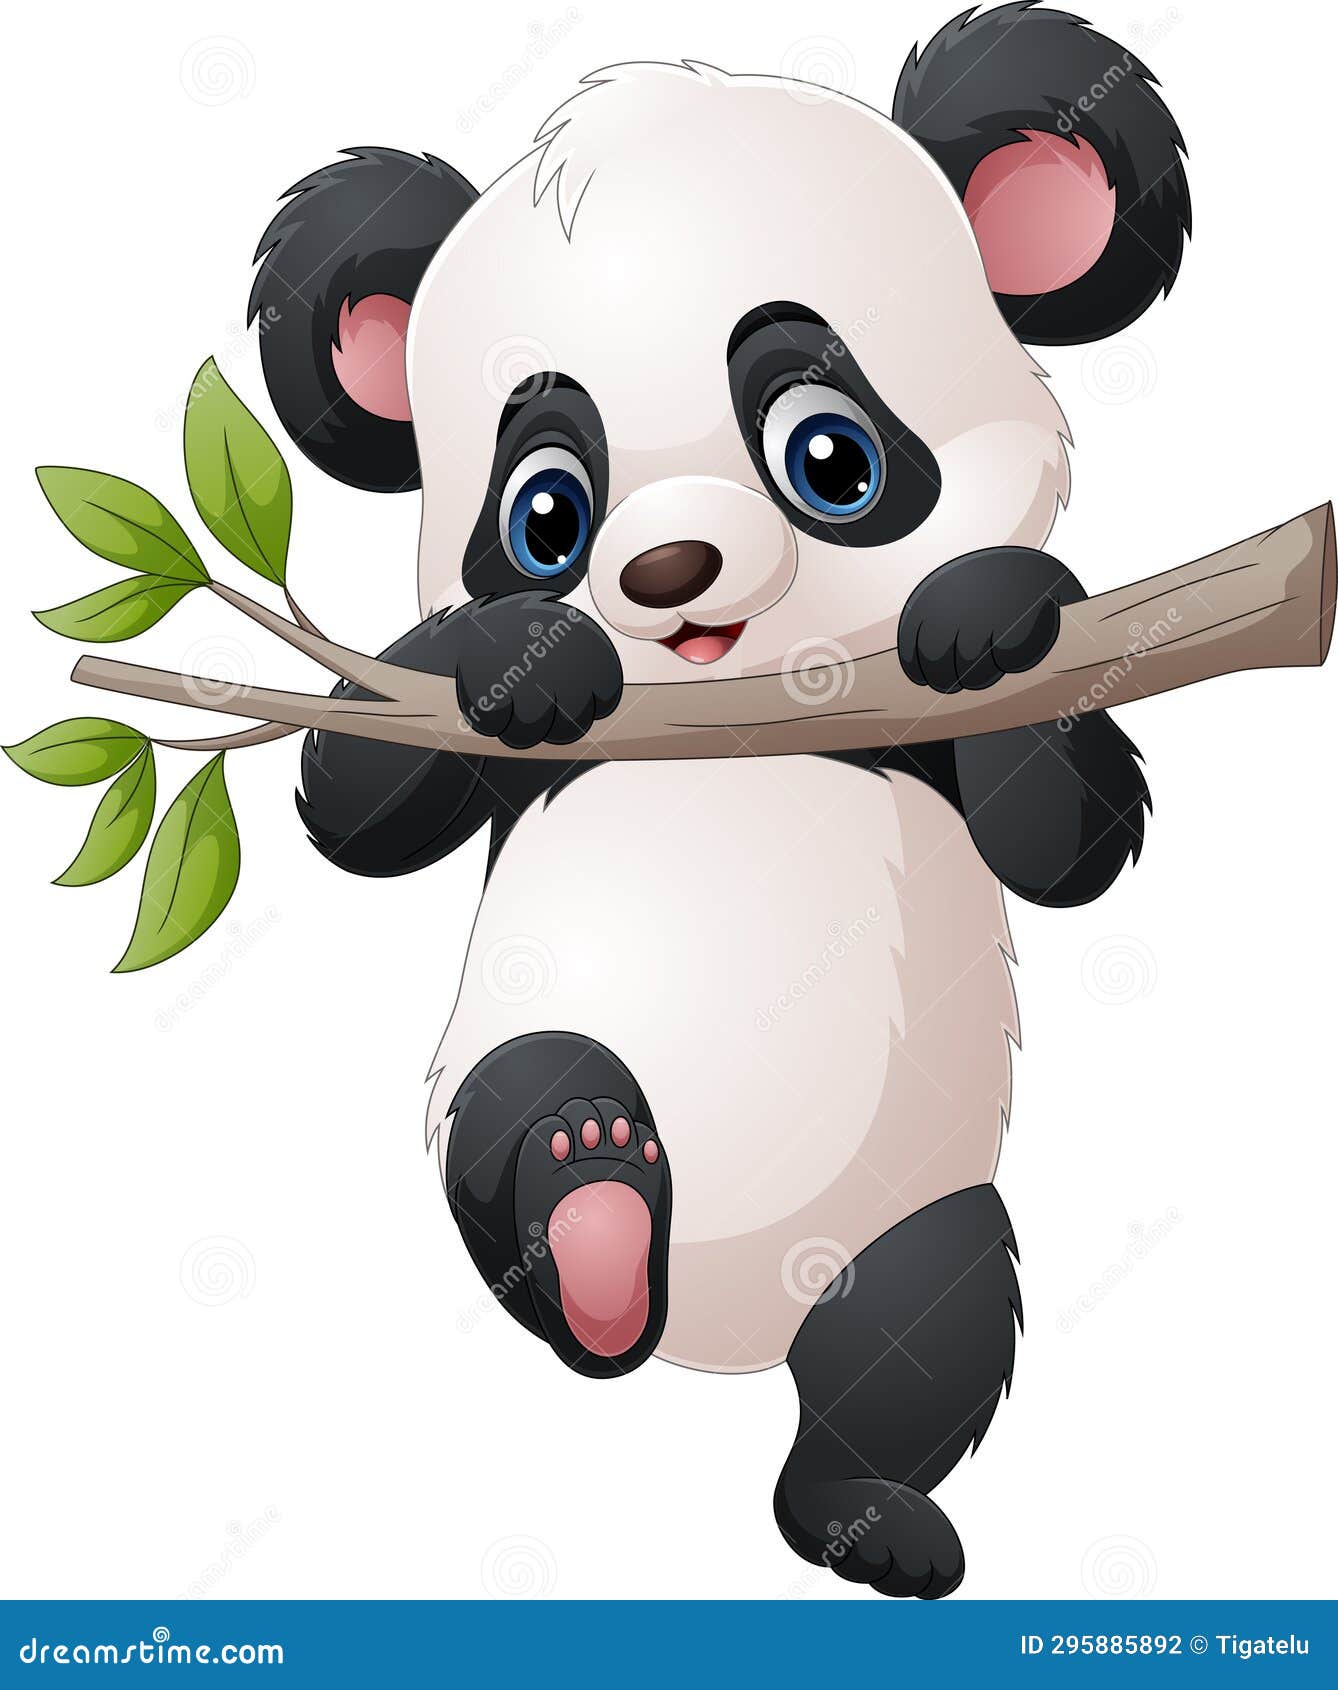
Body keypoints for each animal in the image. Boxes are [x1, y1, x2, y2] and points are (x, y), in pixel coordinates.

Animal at [248, 3, 1187, 1598]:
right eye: (544, 513)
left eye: (830, 455)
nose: (671, 578)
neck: (739, 720)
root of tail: (712, 1339)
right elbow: (356, 793)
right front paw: (521, 658)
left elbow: (1070, 839)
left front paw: (986, 610)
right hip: (519, 1065)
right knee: (522, 1126)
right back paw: (590, 1201)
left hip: (908, 1209)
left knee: (915, 1331)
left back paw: (864, 1509)